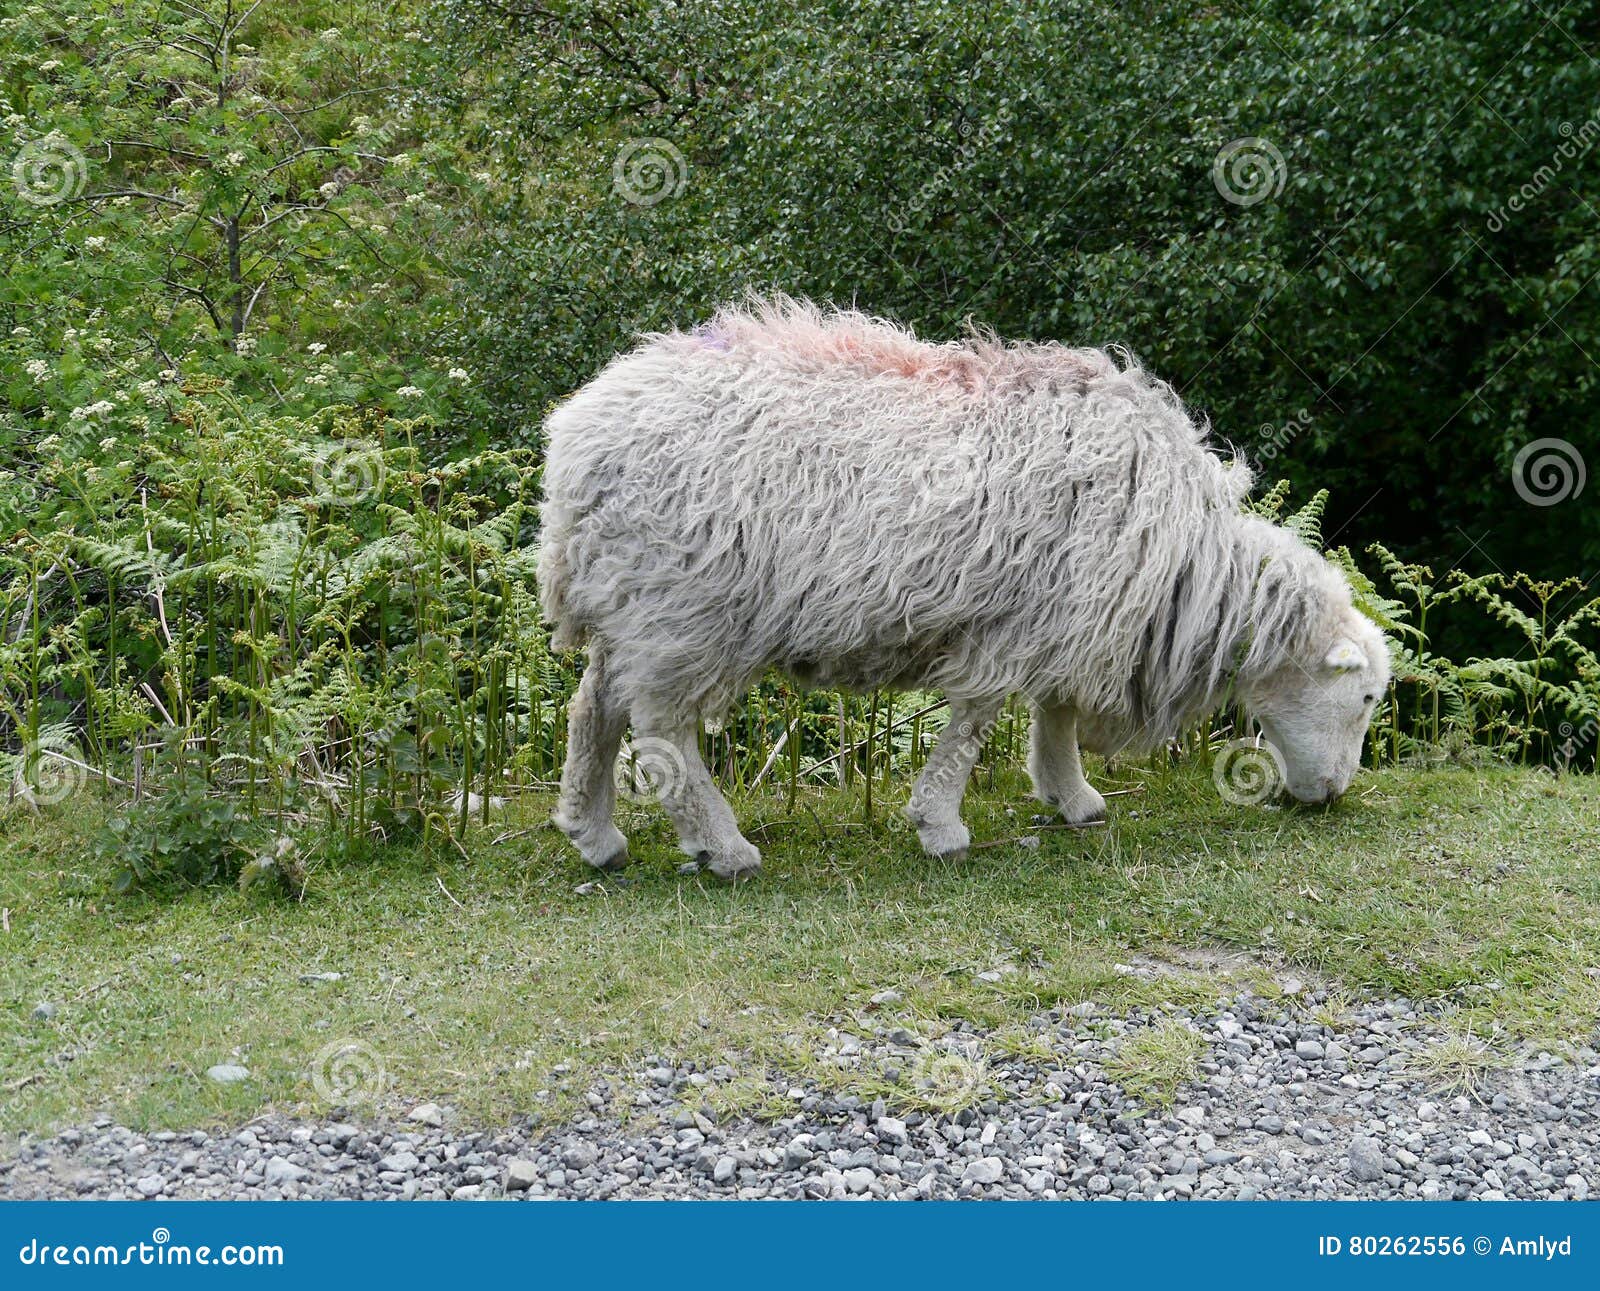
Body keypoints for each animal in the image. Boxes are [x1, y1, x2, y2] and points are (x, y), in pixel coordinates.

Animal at [537, 297, 1390, 878]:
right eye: (1366, 698)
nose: (1334, 794)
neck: (1191, 564)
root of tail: (578, 437)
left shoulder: (1065, 612)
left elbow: (1055, 711)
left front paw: (1071, 796)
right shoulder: (1019, 622)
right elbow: (980, 717)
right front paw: (941, 824)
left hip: (634, 600)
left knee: (594, 706)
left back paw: (593, 833)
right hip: (683, 606)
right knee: (660, 732)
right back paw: (724, 845)